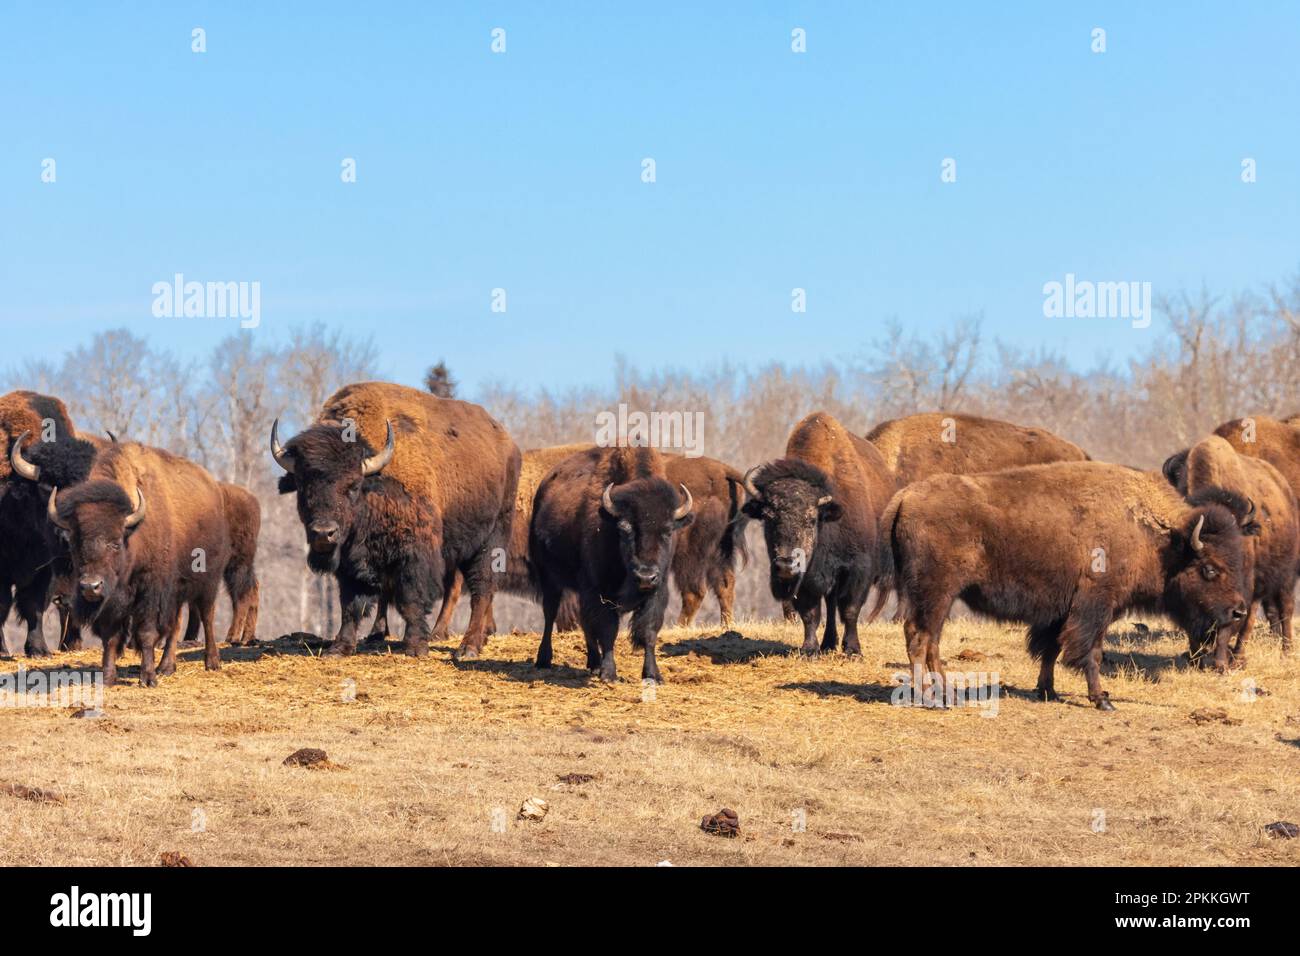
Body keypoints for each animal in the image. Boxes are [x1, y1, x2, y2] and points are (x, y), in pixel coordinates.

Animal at [272, 381, 520, 660]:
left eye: (353, 485)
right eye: (303, 485)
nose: (324, 533)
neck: (376, 483)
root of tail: (510, 446)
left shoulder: (414, 555)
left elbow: (411, 599)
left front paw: (416, 646)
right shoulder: (350, 563)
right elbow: (351, 604)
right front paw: (339, 648)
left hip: (491, 538)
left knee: (482, 588)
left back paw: (468, 647)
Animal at [529, 445, 693, 682]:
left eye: (668, 531)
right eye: (624, 529)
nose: (645, 576)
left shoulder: (657, 590)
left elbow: (649, 631)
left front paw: (653, 674)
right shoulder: (601, 590)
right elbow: (608, 630)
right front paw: (608, 673)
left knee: (585, 622)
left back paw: (593, 662)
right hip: (549, 577)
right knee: (550, 613)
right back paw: (544, 659)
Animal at [884, 461, 1252, 710]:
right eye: (1208, 569)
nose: (1238, 611)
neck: (1158, 538)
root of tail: (904, 497)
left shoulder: (1060, 611)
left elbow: (1050, 649)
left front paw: (1048, 691)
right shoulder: (1096, 605)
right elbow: (1091, 652)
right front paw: (1102, 700)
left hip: (937, 598)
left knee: (931, 641)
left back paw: (949, 694)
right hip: (936, 591)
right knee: (919, 637)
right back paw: (932, 698)